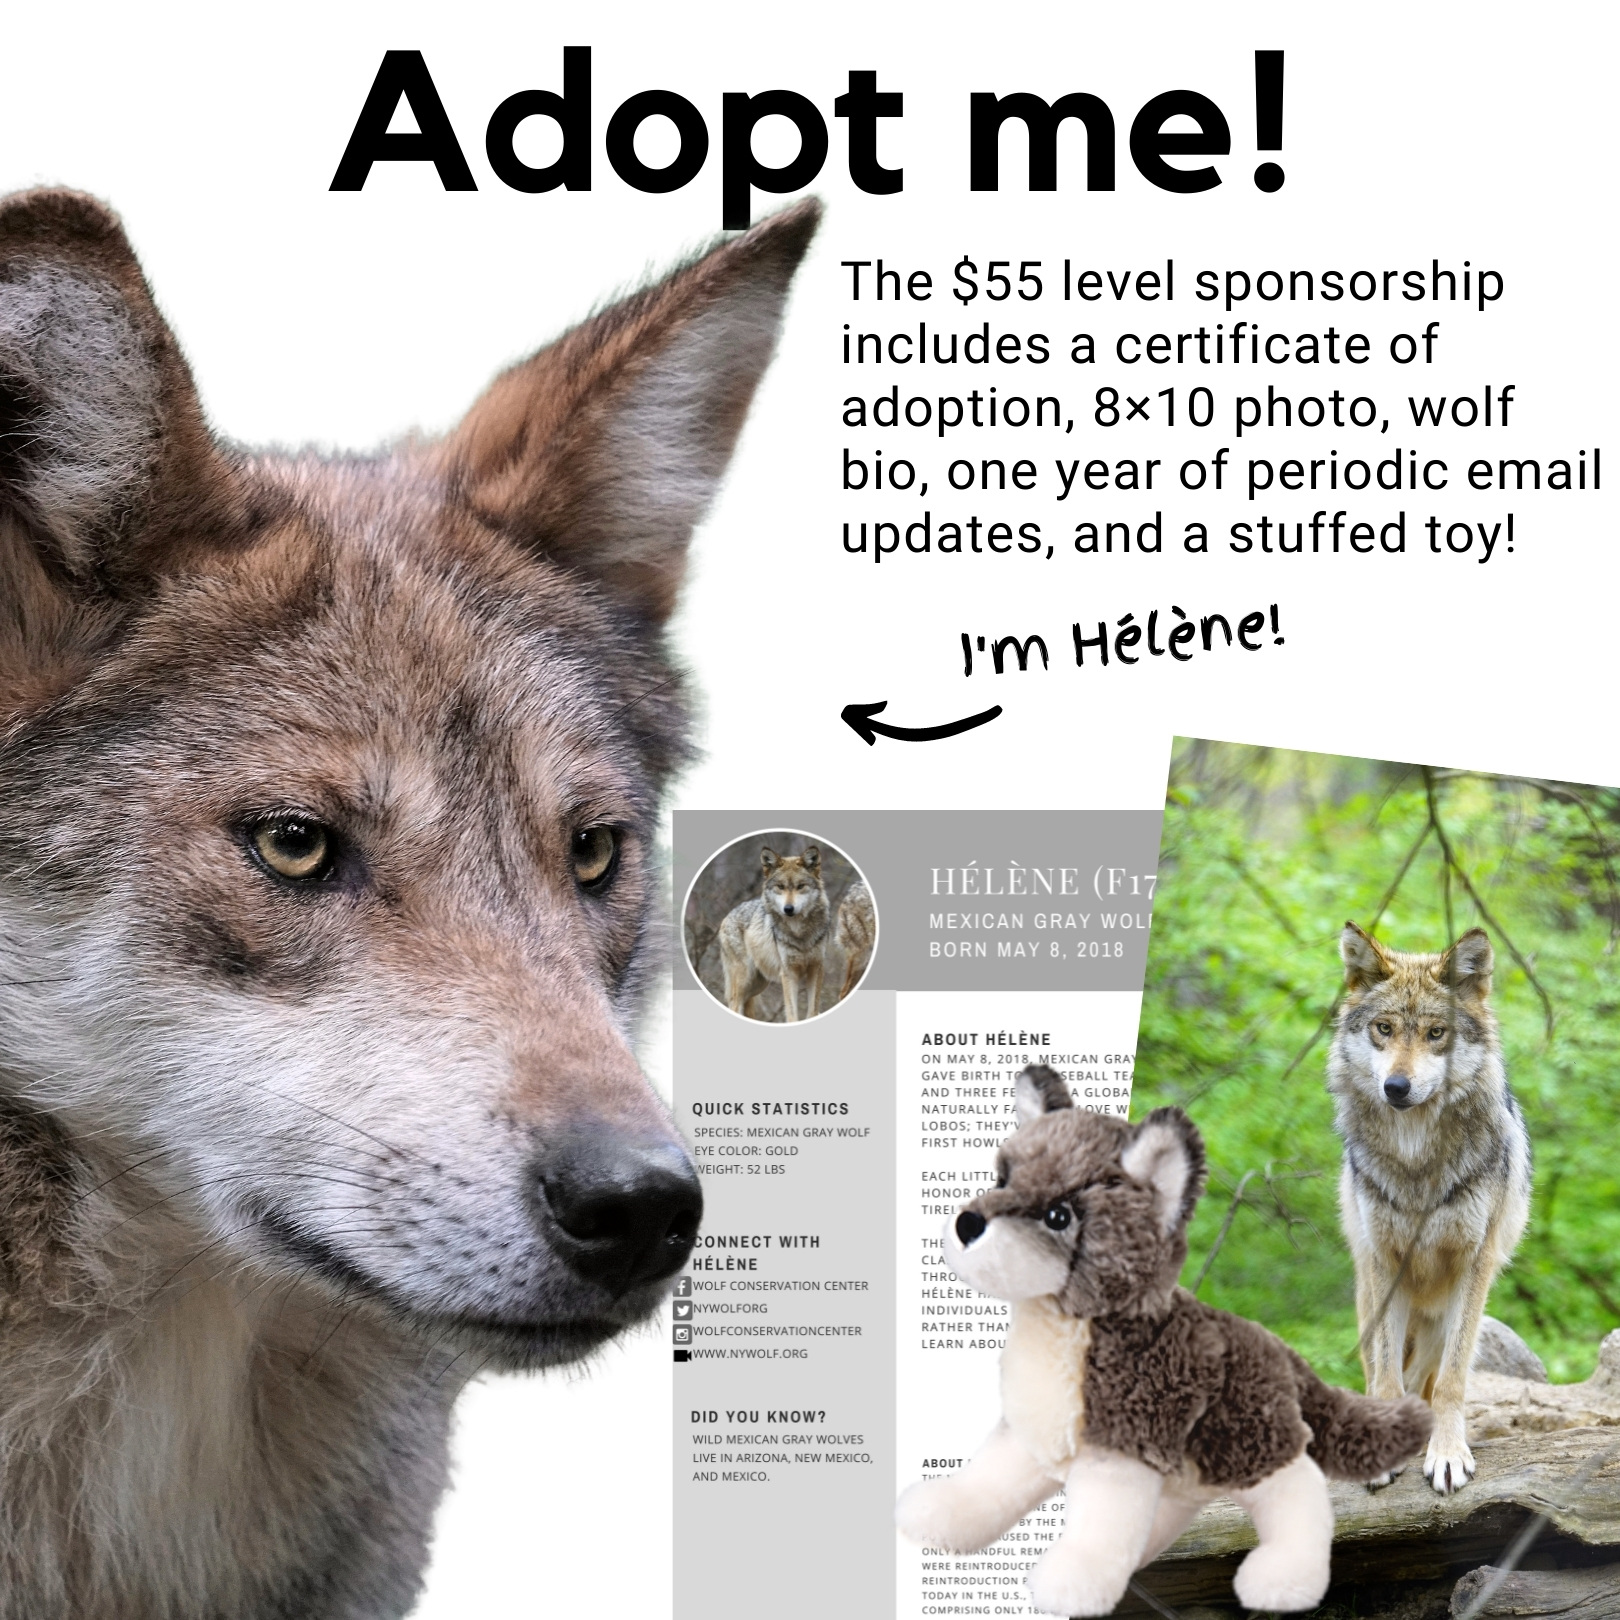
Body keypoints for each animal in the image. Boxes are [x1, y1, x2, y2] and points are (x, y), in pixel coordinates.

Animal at [718, 844, 830, 1020]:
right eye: (781, 887)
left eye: (800, 886)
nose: (788, 909)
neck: (800, 933)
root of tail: (728, 915)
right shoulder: (789, 973)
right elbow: (792, 1014)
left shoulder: (816, 969)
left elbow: (813, 1010)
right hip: (744, 981)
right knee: (734, 1005)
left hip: (758, 984)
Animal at [1329, 922, 1532, 1496]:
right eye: (1384, 1029)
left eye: (1436, 1034)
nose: (1396, 1086)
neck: (1416, 1157)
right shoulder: (1385, 1264)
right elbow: (1385, 1375)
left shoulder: (1473, 1266)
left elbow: (1451, 1382)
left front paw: (1446, 1454)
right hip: (1369, 1295)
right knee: (1385, 1372)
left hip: (1446, 1318)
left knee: (1428, 1374)